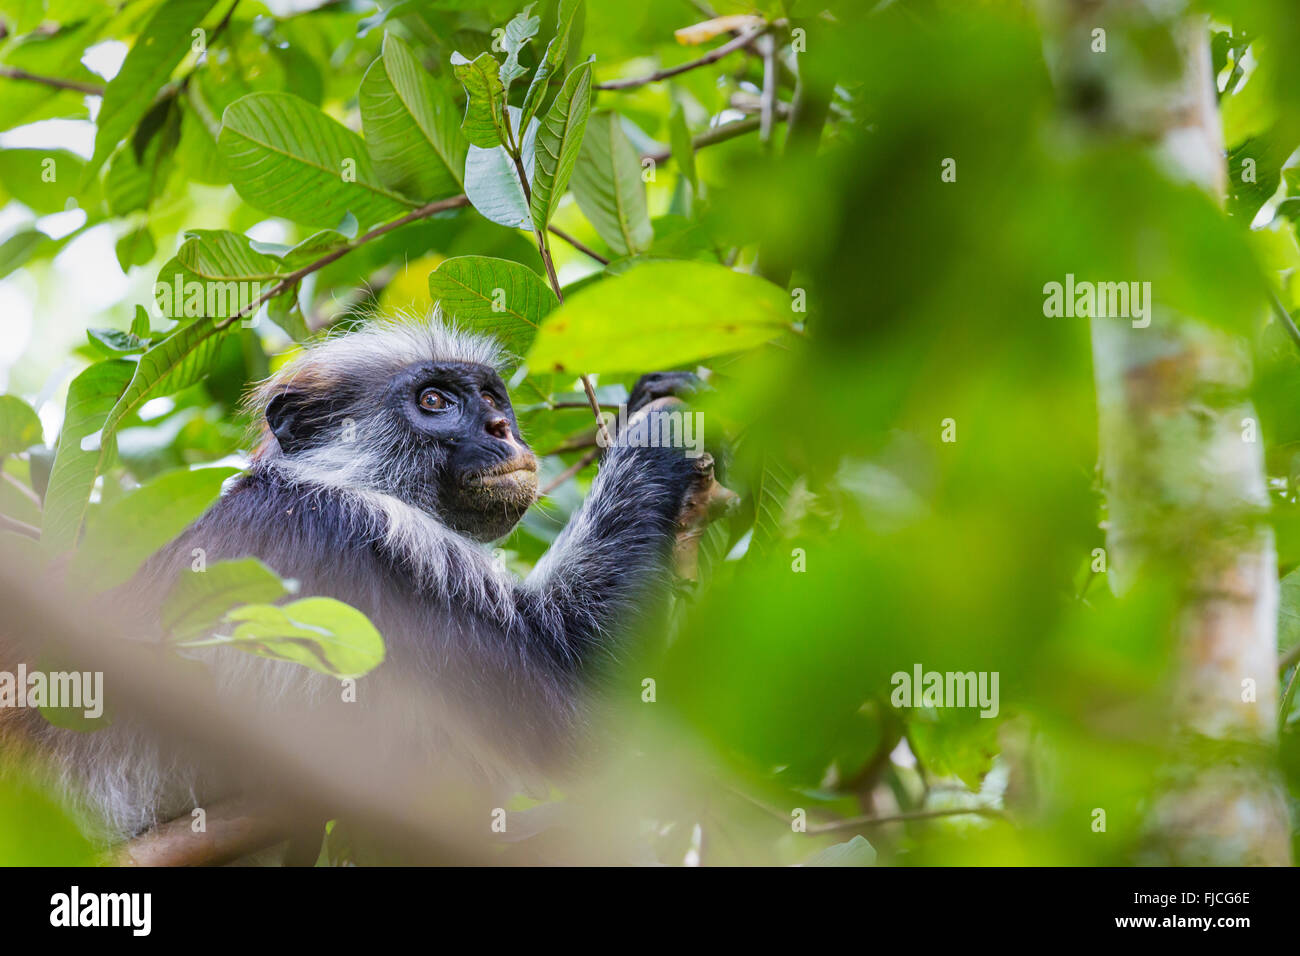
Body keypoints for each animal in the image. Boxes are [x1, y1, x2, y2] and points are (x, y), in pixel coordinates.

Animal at [12, 315, 714, 847]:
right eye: (435, 401)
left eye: (492, 400)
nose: (501, 429)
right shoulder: (363, 538)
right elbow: (578, 716)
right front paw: (660, 430)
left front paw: (656, 392)